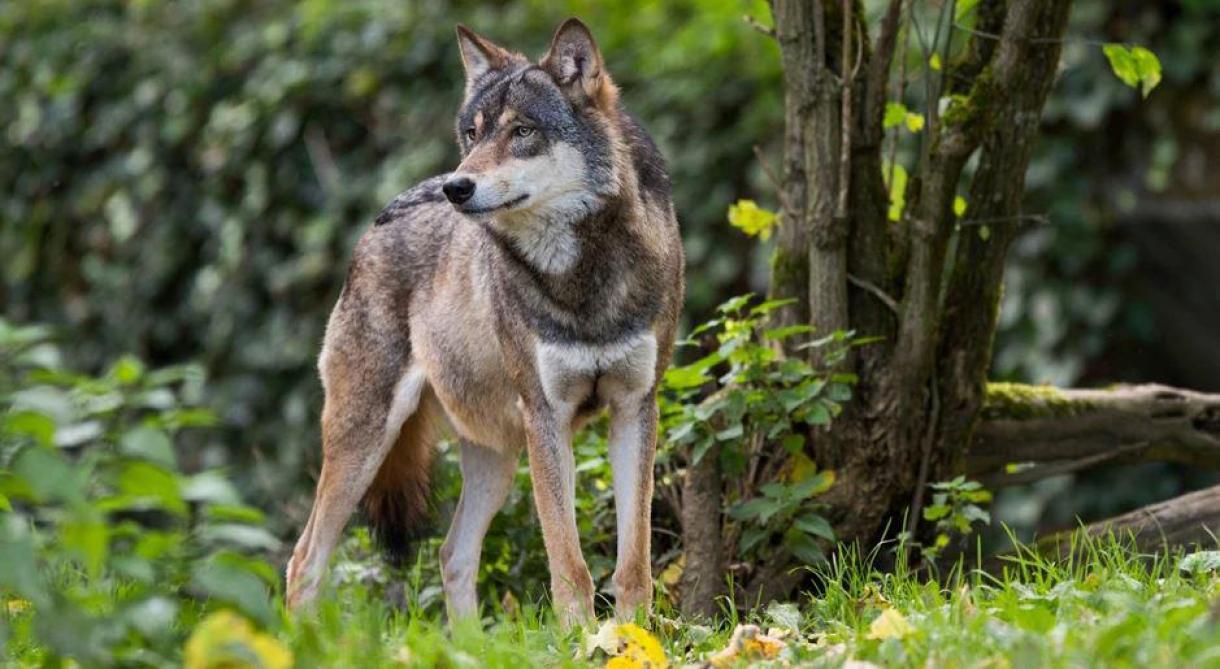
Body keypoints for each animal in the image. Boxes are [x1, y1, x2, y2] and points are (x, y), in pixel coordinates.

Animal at [284, 18, 684, 624]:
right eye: (472, 134)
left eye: (522, 131)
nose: (458, 187)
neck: (583, 277)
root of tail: (378, 222)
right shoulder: (546, 417)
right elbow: (569, 565)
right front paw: (582, 638)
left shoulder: (635, 408)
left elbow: (633, 563)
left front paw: (634, 637)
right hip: (366, 437)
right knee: (304, 559)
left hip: (495, 452)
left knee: (452, 554)